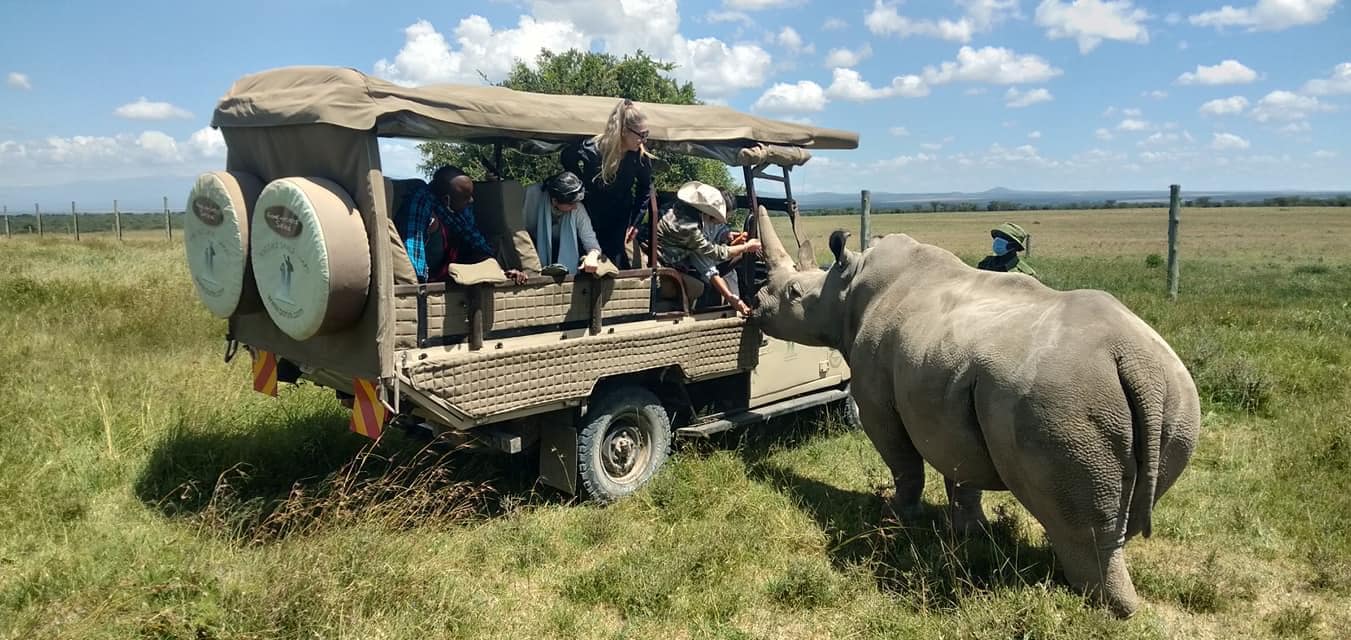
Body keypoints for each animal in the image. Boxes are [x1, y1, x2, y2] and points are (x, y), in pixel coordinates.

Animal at [749, 207, 1200, 617]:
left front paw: (897, 518)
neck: (843, 290)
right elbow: (961, 471)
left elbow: (904, 464)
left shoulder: (876, 398)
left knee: (1081, 523)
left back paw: (1098, 606)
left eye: (792, 292)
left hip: (1066, 401)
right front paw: (969, 532)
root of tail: (1134, 361)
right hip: (1176, 400)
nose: (756, 303)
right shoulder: (943, 393)